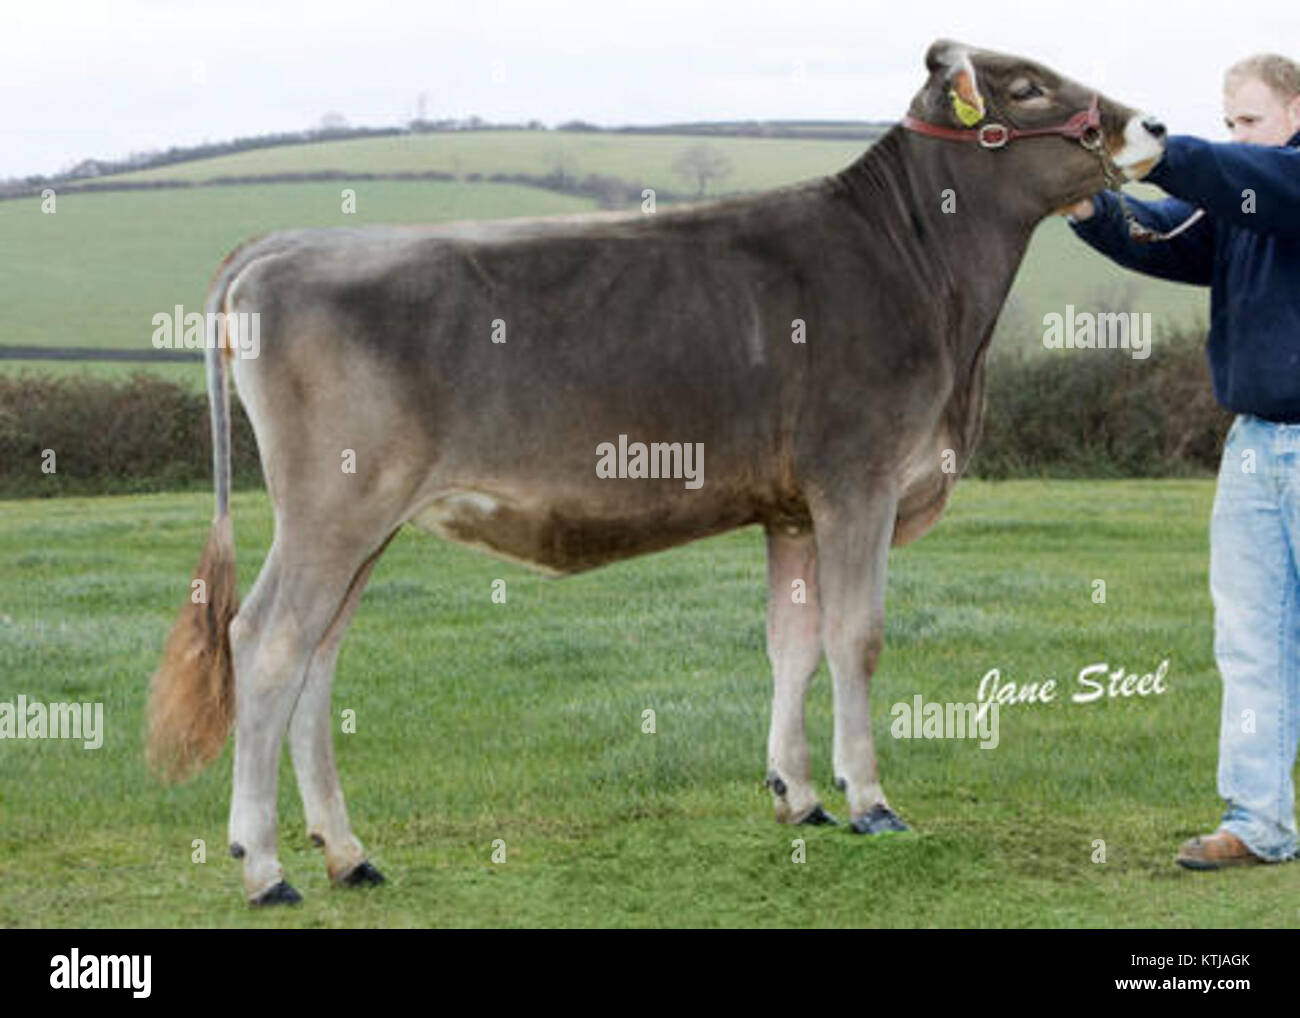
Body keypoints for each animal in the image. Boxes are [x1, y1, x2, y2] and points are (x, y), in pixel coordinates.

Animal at [147, 39, 1166, 904]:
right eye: (1026, 85)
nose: (1152, 126)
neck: (926, 282)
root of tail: (285, 245)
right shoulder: (858, 481)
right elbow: (856, 638)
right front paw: (870, 801)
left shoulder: (793, 509)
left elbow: (792, 643)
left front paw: (798, 794)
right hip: (333, 508)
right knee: (266, 642)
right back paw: (264, 864)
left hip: (364, 520)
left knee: (317, 656)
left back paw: (347, 853)